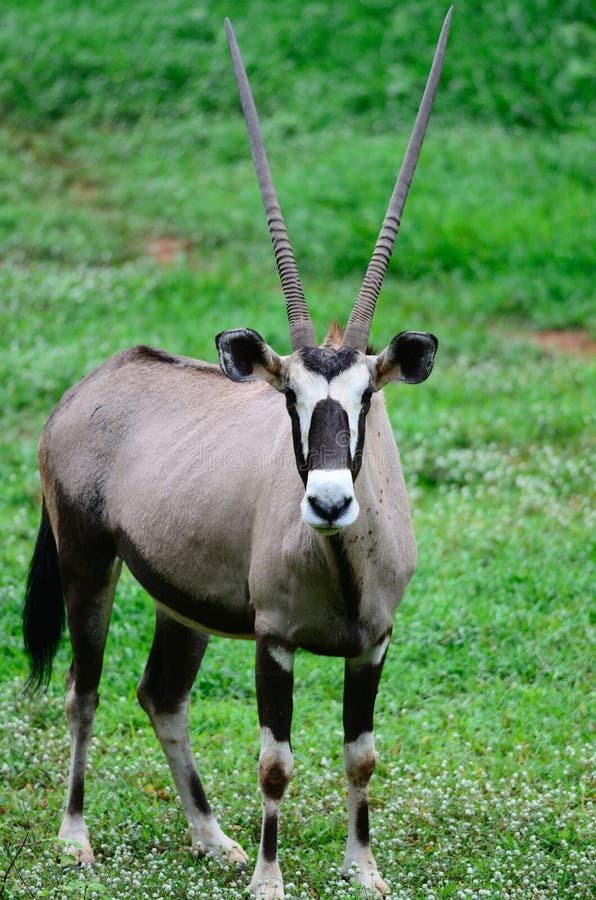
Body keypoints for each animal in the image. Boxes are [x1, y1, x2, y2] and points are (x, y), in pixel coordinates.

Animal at [23, 9, 452, 898]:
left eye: (367, 397)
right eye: (289, 397)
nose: (328, 503)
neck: (341, 563)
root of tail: (91, 385)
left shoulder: (374, 643)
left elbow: (361, 756)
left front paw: (364, 870)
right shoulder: (274, 640)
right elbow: (277, 763)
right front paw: (269, 880)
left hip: (180, 602)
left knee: (161, 694)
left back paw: (209, 837)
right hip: (87, 563)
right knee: (85, 691)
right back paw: (77, 838)